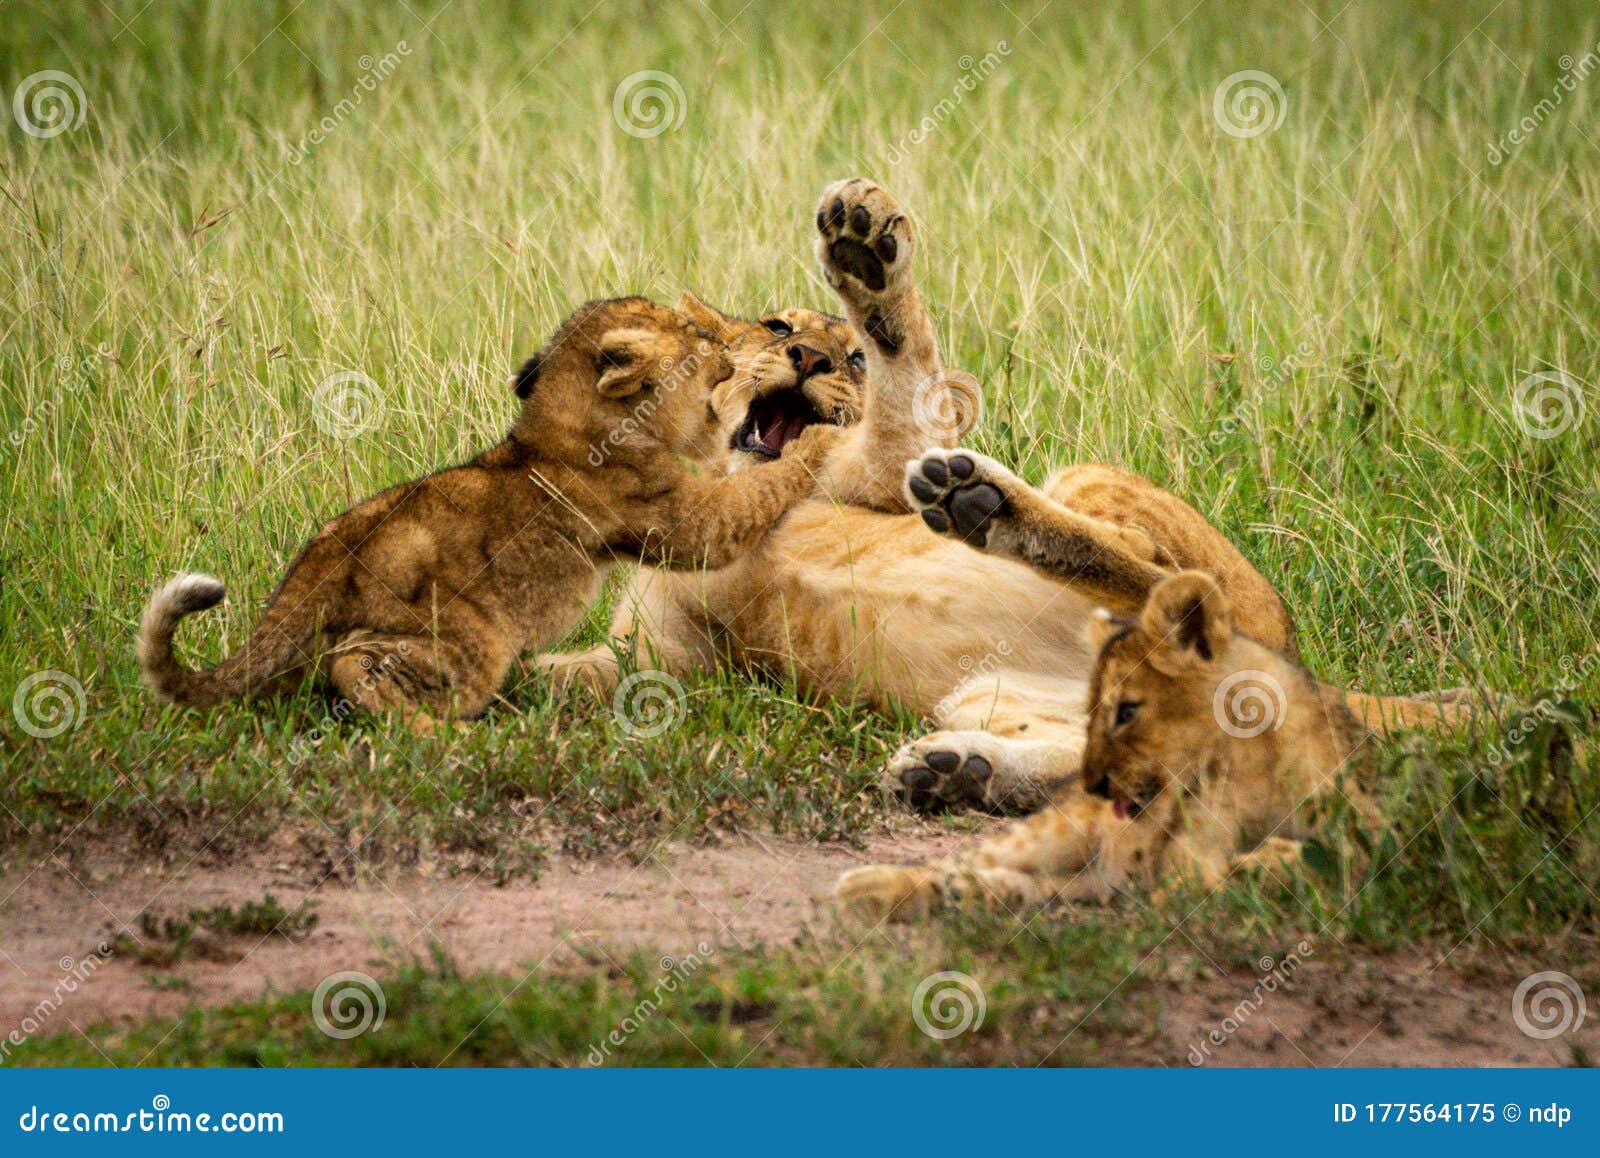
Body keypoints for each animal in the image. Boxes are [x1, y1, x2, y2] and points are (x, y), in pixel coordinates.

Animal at [138, 296, 840, 731]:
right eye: (699, 338)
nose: (730, 349)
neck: (558, 428)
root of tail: (319, 566)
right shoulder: (676, 519)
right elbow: (757, 493)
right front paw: (816, 440)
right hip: (475, 640)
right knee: (358, 670)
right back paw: (442, 735)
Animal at [541, 179, 1474, 809]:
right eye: (778, 329)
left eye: (850, 361)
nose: (805, 359)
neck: (721, 493)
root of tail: (1309, 673)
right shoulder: (664, 662)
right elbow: (559, 672)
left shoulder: (891, 463)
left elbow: (903, 390)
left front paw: (868, 255)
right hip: (1006, 697)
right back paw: (958, 770)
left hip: (1103, 492)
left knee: (1156, 576)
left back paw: (988, 508)